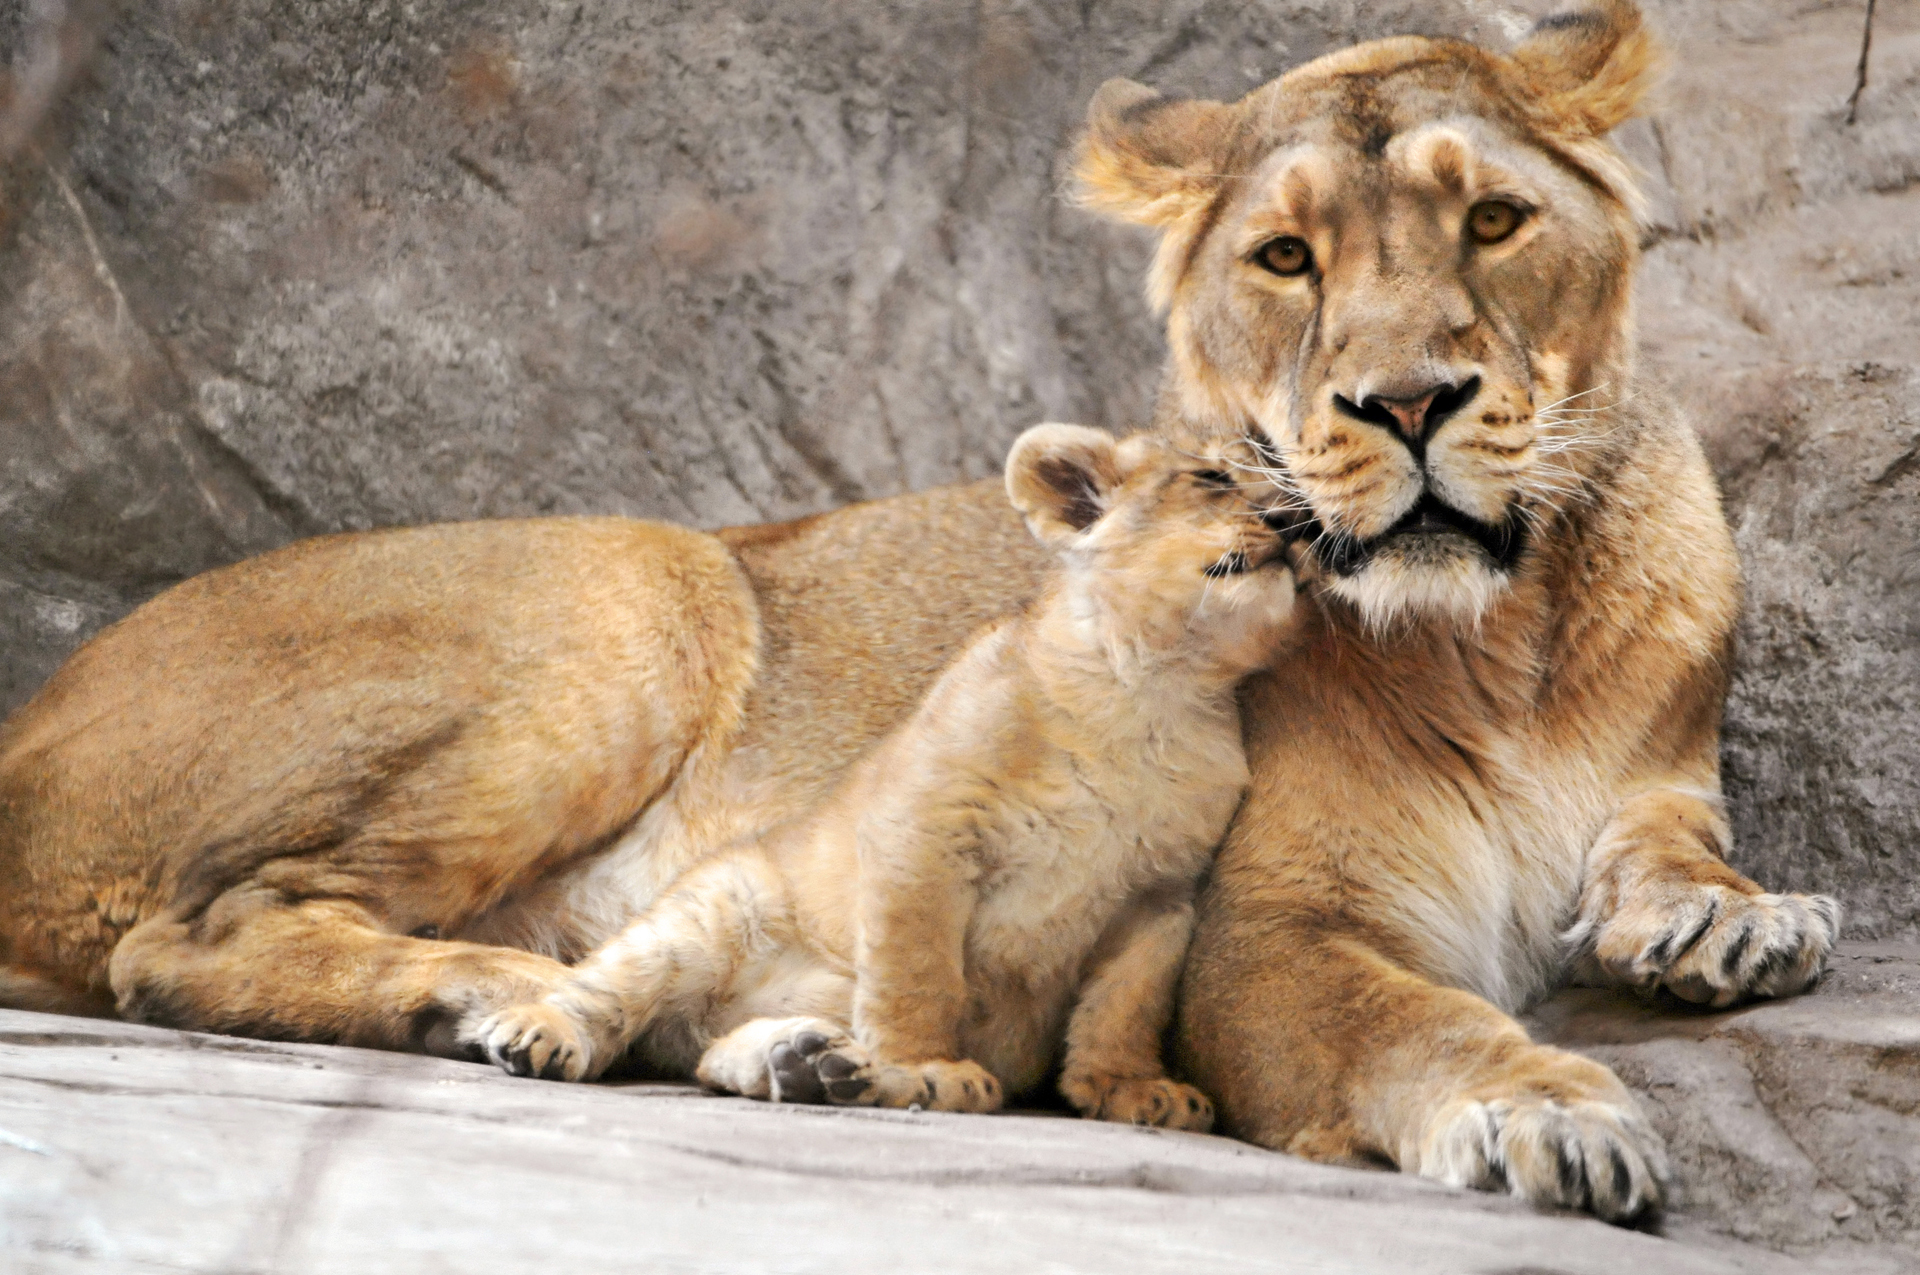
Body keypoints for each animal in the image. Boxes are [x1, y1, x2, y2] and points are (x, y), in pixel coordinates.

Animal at [471, 424, 1292, 1133]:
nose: (1293, 522)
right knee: (608, 988)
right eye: (1213, 478)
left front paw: (1129, 1087)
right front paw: (925, 1068)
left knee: (708, 1055)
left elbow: (1127, 1002)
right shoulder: (923, 827)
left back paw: (806, 1062)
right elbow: (918, 969)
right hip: (712, 909)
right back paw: (543, 1034)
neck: (1153, 694)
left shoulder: (1161, 894)